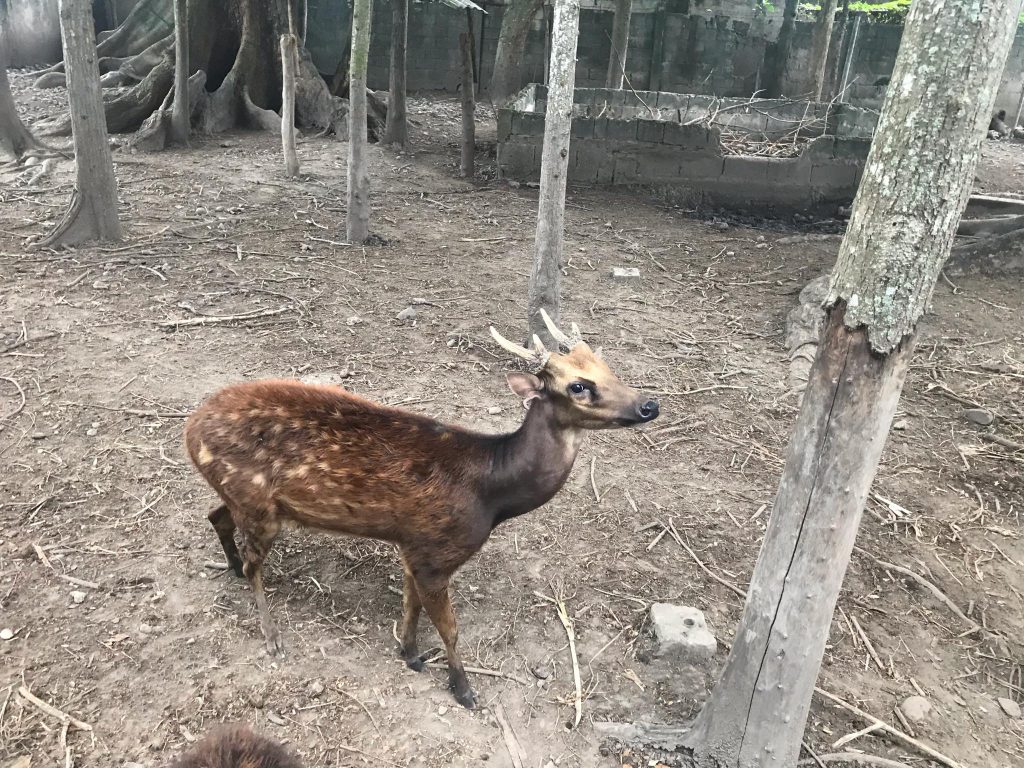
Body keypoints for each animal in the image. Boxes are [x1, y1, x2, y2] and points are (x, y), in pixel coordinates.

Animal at [183, 310, 659, 709]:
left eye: (607, 366)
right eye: (578, 385)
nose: (649, 404)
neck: (492, 493)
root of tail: (190, 428)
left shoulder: (411, 545)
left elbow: (410, 605)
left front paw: (409, 654)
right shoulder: (435, 550)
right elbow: (449, 627)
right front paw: (463, 689)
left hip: (245, 498)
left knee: (216, 517)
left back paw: (229, 566)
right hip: (257, 504)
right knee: (253, 562)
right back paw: (271, 634)